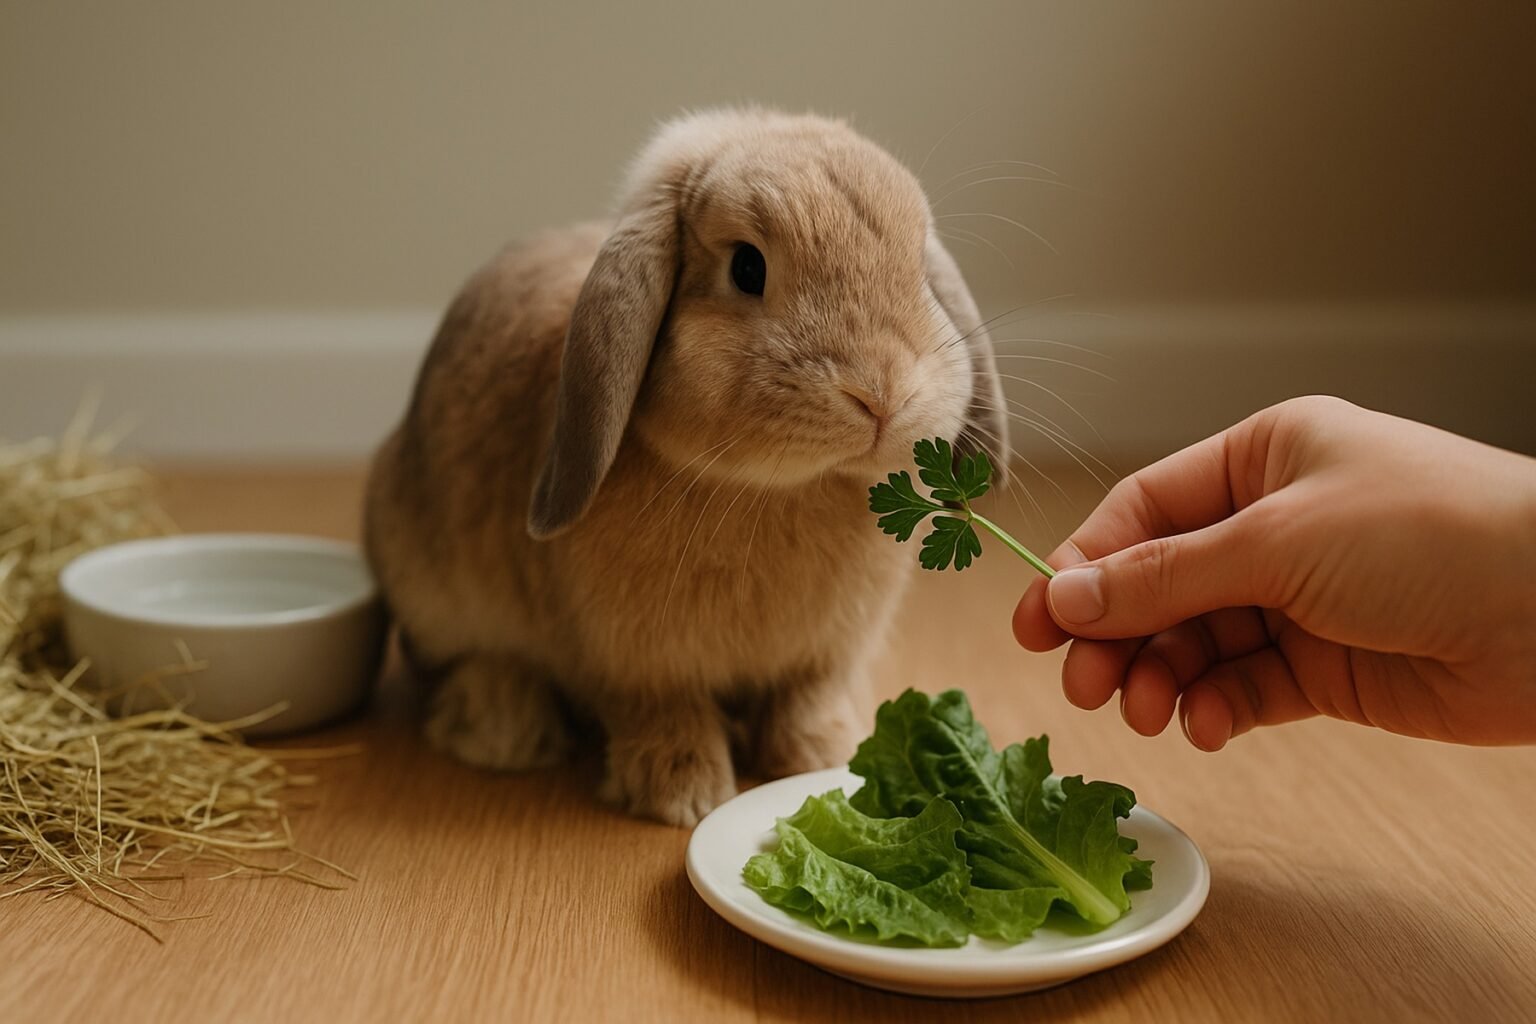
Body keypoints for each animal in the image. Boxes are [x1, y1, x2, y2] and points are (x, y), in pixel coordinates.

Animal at [364, 107, 1009, 827]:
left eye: (919, 268)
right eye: (747, 267)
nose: (882, 394)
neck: (775, 488)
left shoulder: (823, 657)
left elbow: (806, 701)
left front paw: (821, 757)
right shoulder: (634, 664)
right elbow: (664, 715)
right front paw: (683, 795)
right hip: (433, 595)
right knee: (472, 666)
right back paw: (507, 735)